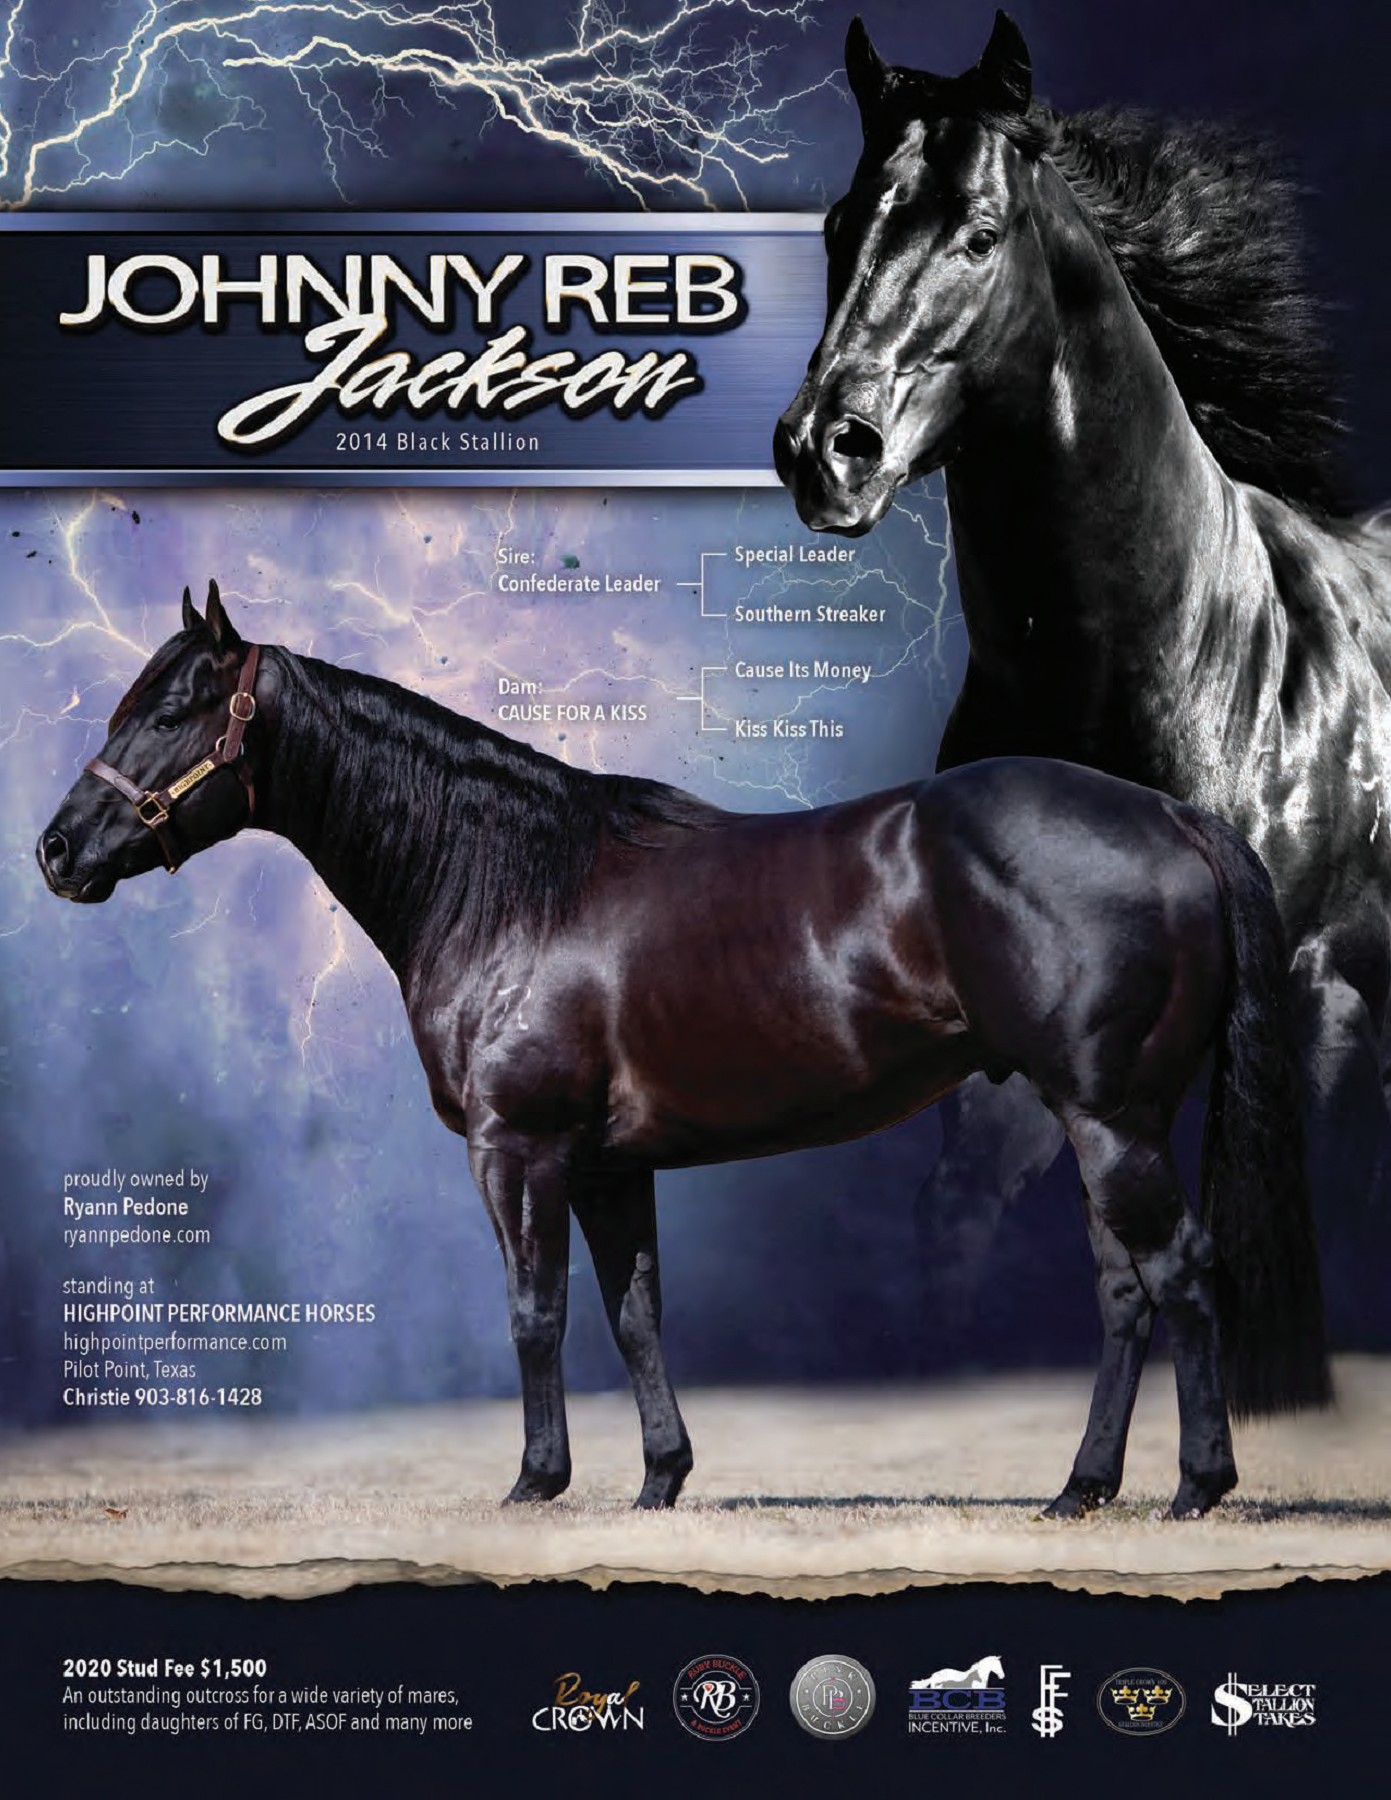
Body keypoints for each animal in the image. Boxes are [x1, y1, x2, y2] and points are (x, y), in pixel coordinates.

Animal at [36, 583, 1330, 1518]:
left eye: (169, 713)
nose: (56, 851)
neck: (511, 883)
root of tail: (1171, 816)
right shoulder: (612, 1166)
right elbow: (634, 1315)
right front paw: (659, 1480)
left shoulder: (520, 1150)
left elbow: (536, 1311)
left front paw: (535, 1484)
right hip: (1087, 1119)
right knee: (1123, 1292)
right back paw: (1078, 1491)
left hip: (1112, 1117)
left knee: (1180, 1273)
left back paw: (1194, 1490)